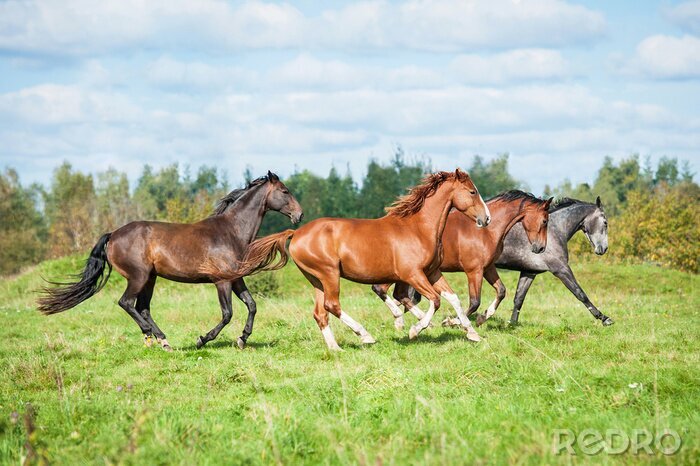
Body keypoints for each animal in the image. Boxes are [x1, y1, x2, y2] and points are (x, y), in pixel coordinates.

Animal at [37, 173, 302, 352]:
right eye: (285, 191)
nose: (299, 215)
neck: (231, 232)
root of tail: (112, 235)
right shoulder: (222, 281)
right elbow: (227, 314)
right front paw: (201, 340)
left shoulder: (236, 279)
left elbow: (252, 305)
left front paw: (242, 339)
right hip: (139, 277)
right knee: (127, 303)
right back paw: (153, 335)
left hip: (150, 279)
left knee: (143, 307)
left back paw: (162, 340)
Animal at [208, 170, 492, 350]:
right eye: (472, 191)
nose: (486, 218)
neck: (418, 227)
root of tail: (296, 233)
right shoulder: (412, 274)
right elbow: (434, 300)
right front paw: (415, 330)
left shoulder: (432, 272)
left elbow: (453, 299)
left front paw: (472, 333)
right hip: (330, 274)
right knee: (332, 306)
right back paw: (365, 336)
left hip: (317, 280)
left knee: (320, 313)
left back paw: (335, 348)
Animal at [372, 190, 552, 332]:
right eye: (545, 221)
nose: (540, 248)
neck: (486, 231)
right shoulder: (474, 270)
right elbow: (474, 302)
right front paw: (452, 322)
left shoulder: (488, 268)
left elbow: (501, 291)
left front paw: (482, 318)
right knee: (381, 289)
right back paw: (405, 322)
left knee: (397, 294)